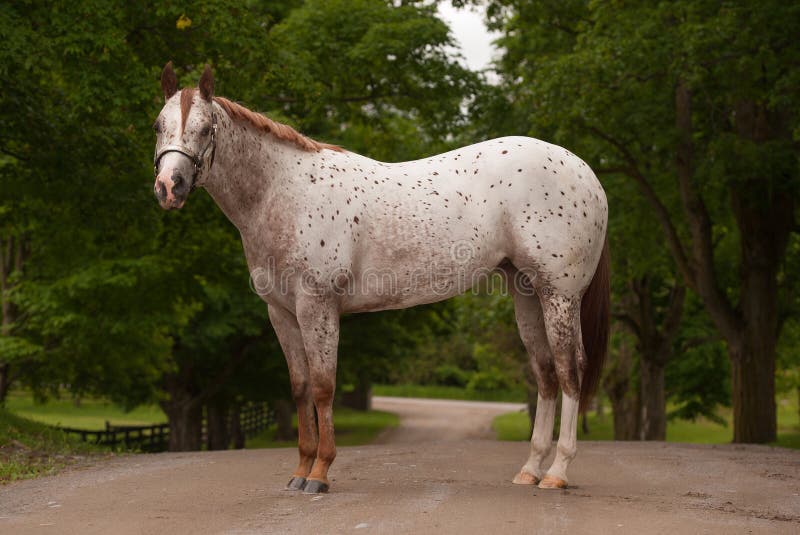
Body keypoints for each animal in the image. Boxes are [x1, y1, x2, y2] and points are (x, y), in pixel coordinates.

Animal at [152, 63, 610, 494]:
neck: (285, 193)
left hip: (560, 295)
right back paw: (530, 470)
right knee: (546, 374)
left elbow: (323, 387)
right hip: (526, 293)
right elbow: (300, 388)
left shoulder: (318, 307)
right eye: (158, 125)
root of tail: (585, 172)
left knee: (570, 371)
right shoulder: (280, 314)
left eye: (205, 128)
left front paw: (320, 473)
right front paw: (299, 472)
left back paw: (558, 473)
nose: (169, 187)